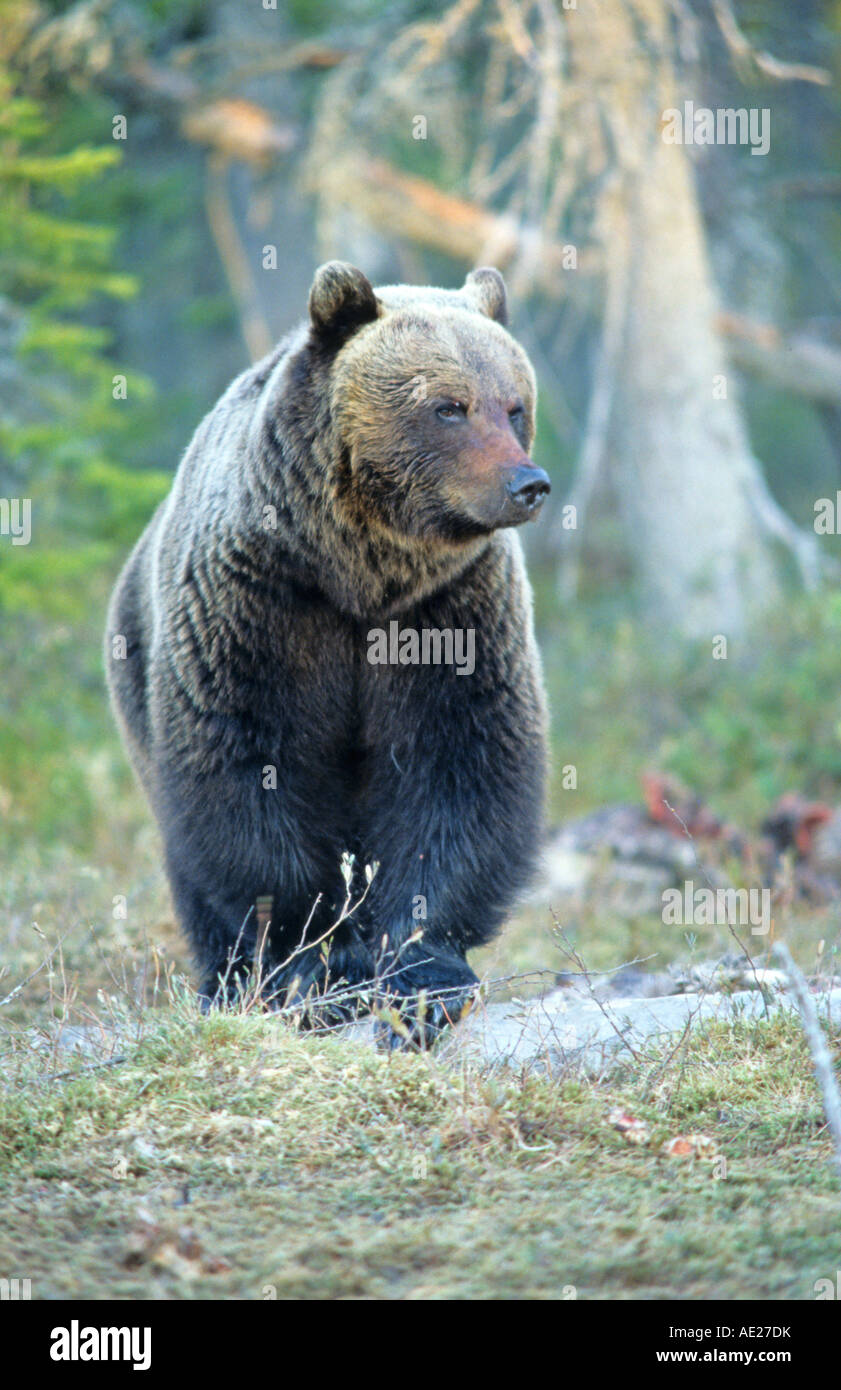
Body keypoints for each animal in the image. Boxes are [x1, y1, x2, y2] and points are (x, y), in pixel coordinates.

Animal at [105, 262, 550, 1047]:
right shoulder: (257, 608)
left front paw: (422, 978)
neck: (355, 570)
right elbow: (254, 772)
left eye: (514, 404)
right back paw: (225, 983)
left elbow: (456, 768)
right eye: (449, 406)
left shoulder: (448, 612)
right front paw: (324, 968)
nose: (526, 483)